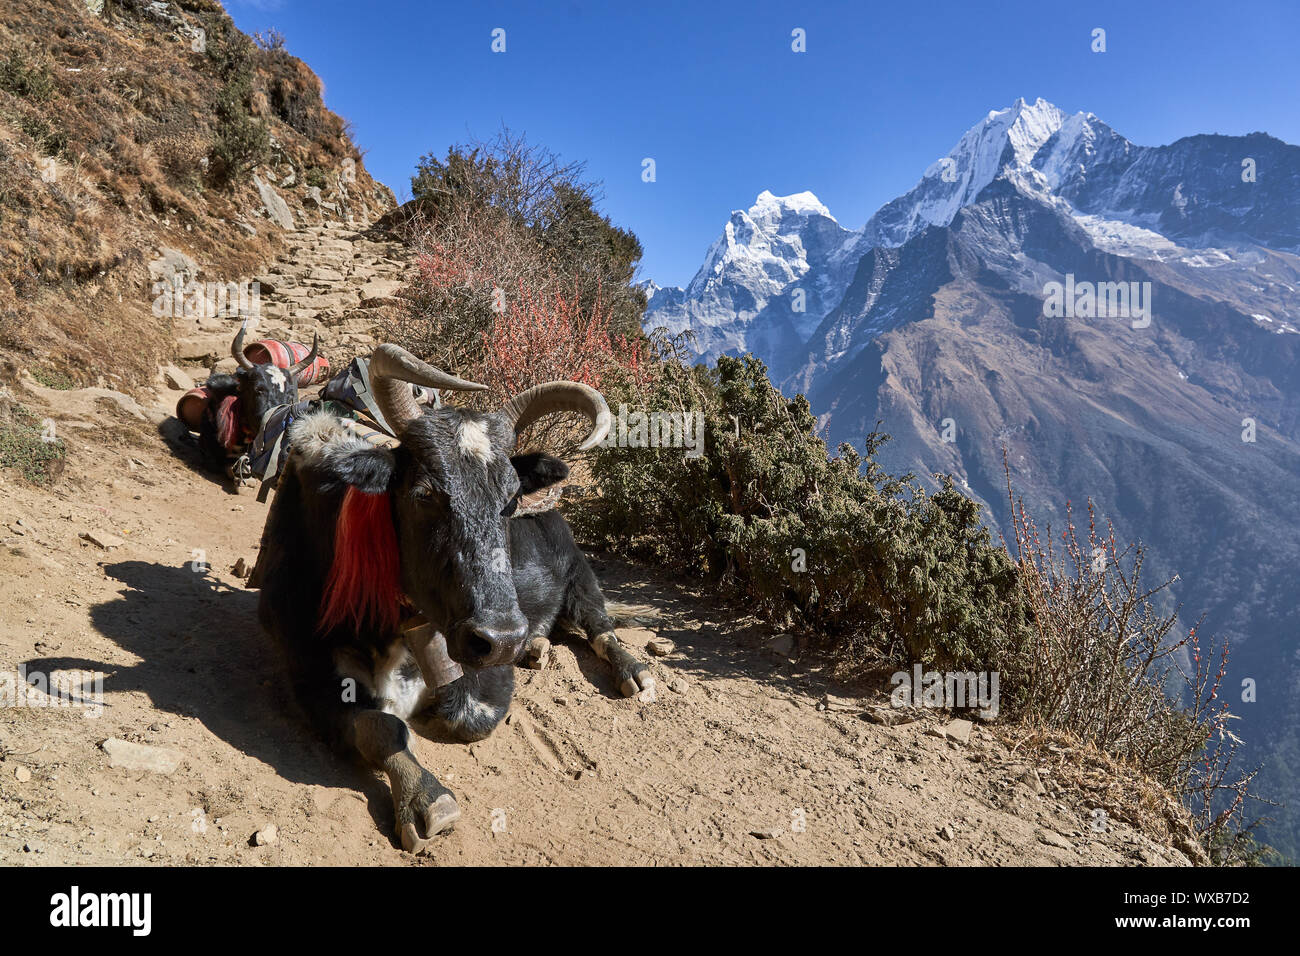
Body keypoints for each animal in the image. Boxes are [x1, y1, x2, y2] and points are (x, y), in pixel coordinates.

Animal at [251, 344, 655, 853]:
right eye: (423, 494)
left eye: (510, 499)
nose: (502, 638)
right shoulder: (305, 669)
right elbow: (380, 725)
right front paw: (425, 797)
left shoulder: (481, 670)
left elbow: (466, 715)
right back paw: (539, 648)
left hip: (581, 577)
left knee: (600, 628)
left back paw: (631, 671)